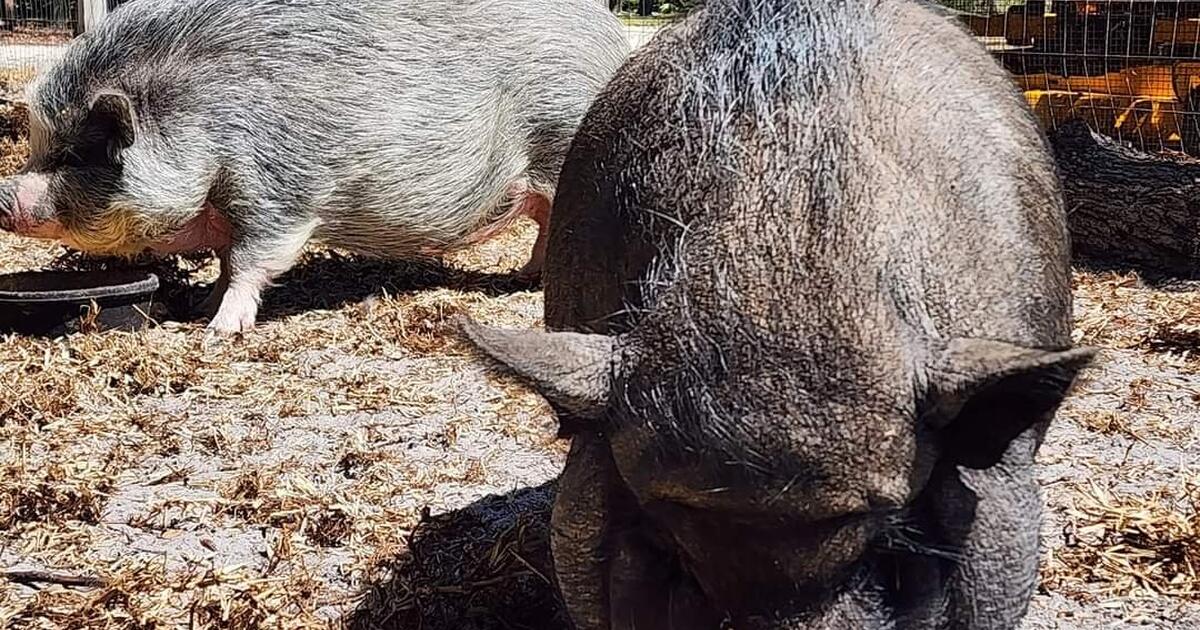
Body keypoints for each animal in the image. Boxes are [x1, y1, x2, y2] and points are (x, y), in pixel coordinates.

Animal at [0, 0, 629, 333]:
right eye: (39, 149)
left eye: (78, 154)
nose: (6, 193)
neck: (202, 118)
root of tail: (613, 38)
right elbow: (226, 260)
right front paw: (201, 305)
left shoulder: (278, 188)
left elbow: (253, 260)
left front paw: (218, 331)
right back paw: (526, 275)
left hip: (559, 147)